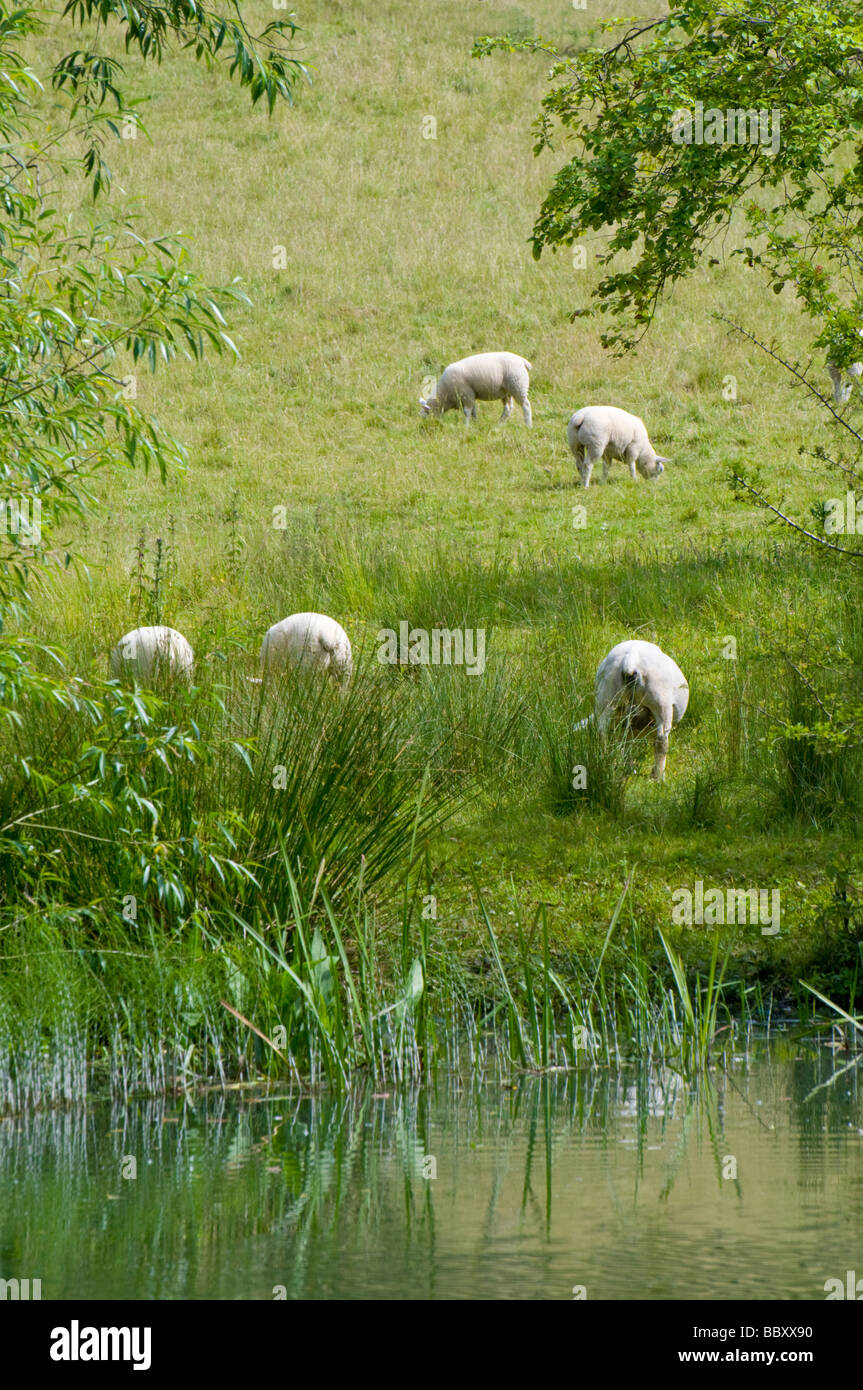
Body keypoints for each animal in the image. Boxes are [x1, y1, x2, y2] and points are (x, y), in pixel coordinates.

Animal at [590, 639, 689, 782]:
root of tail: (631, 659)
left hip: (607, 697)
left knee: (602, 731)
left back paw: (605, 760)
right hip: (660, 701)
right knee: (661, 740)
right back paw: (658, 777)